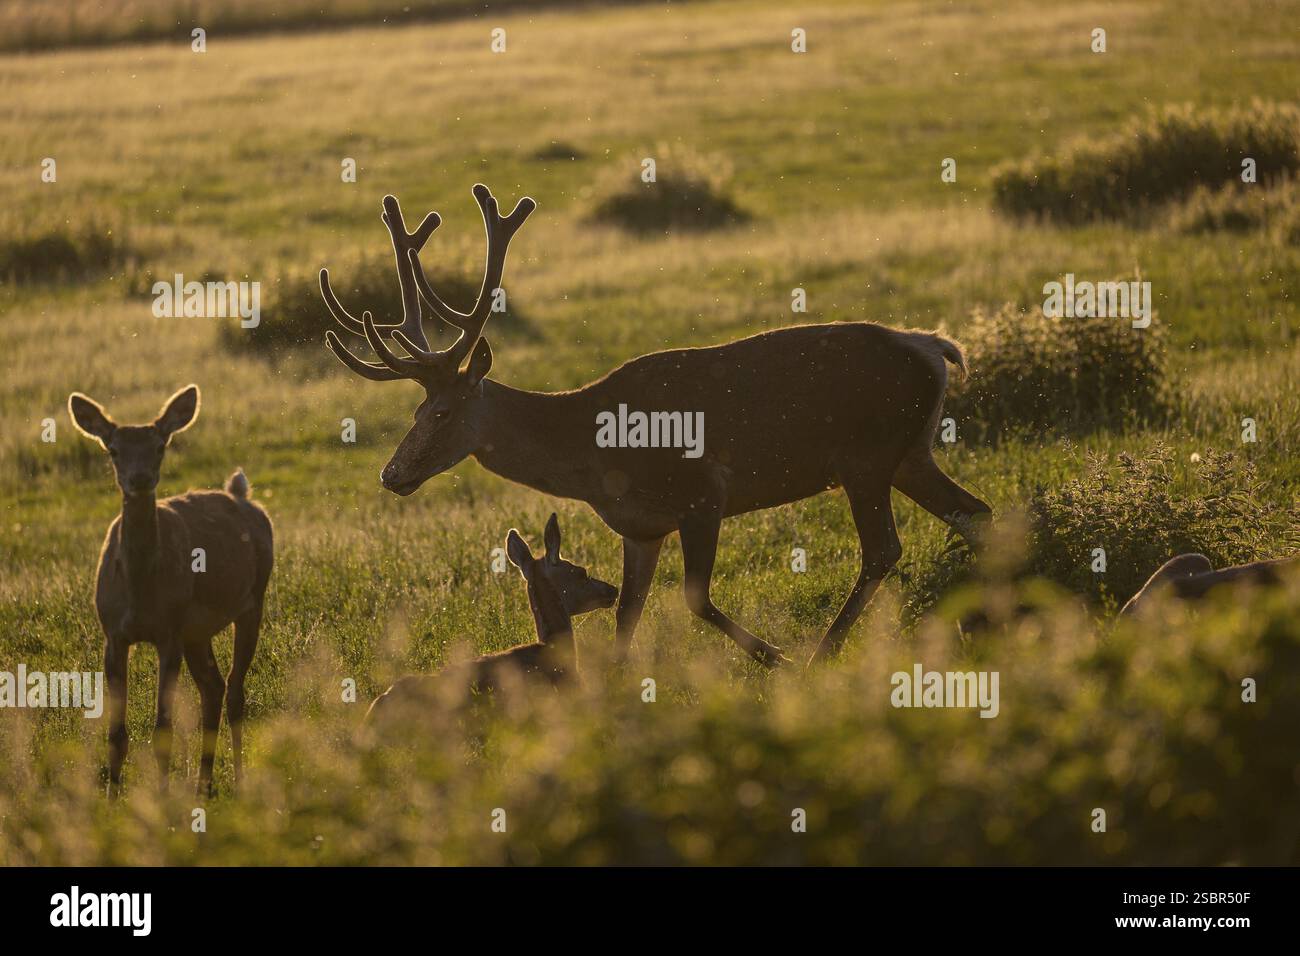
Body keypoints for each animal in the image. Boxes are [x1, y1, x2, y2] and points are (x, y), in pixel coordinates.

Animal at [68, 385, 274, 796]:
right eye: (113, 449)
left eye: (160, 446)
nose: (140, 478)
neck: (141, 590)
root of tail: (243, 497)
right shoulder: (113, 635)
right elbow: (117, 734)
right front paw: (112, 799)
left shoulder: (169, 632)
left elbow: (162, 728)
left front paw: (160, 798)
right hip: (197, 631)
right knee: (212, 688)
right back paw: (202, 786)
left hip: (252, 601)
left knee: (234, 691)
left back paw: (238, 780)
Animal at [319, 184, 991, 667]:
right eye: (413, 412)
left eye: (440, 412)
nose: (391, 474)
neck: (593, 457)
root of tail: (935, 347)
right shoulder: (640, 529)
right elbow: (625, 624)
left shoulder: (703, 492)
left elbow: (696, 599)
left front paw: (777, 660)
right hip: (909, 454)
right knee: (975, 512)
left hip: (866, 455)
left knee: (883, 549)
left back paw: (823, 654)